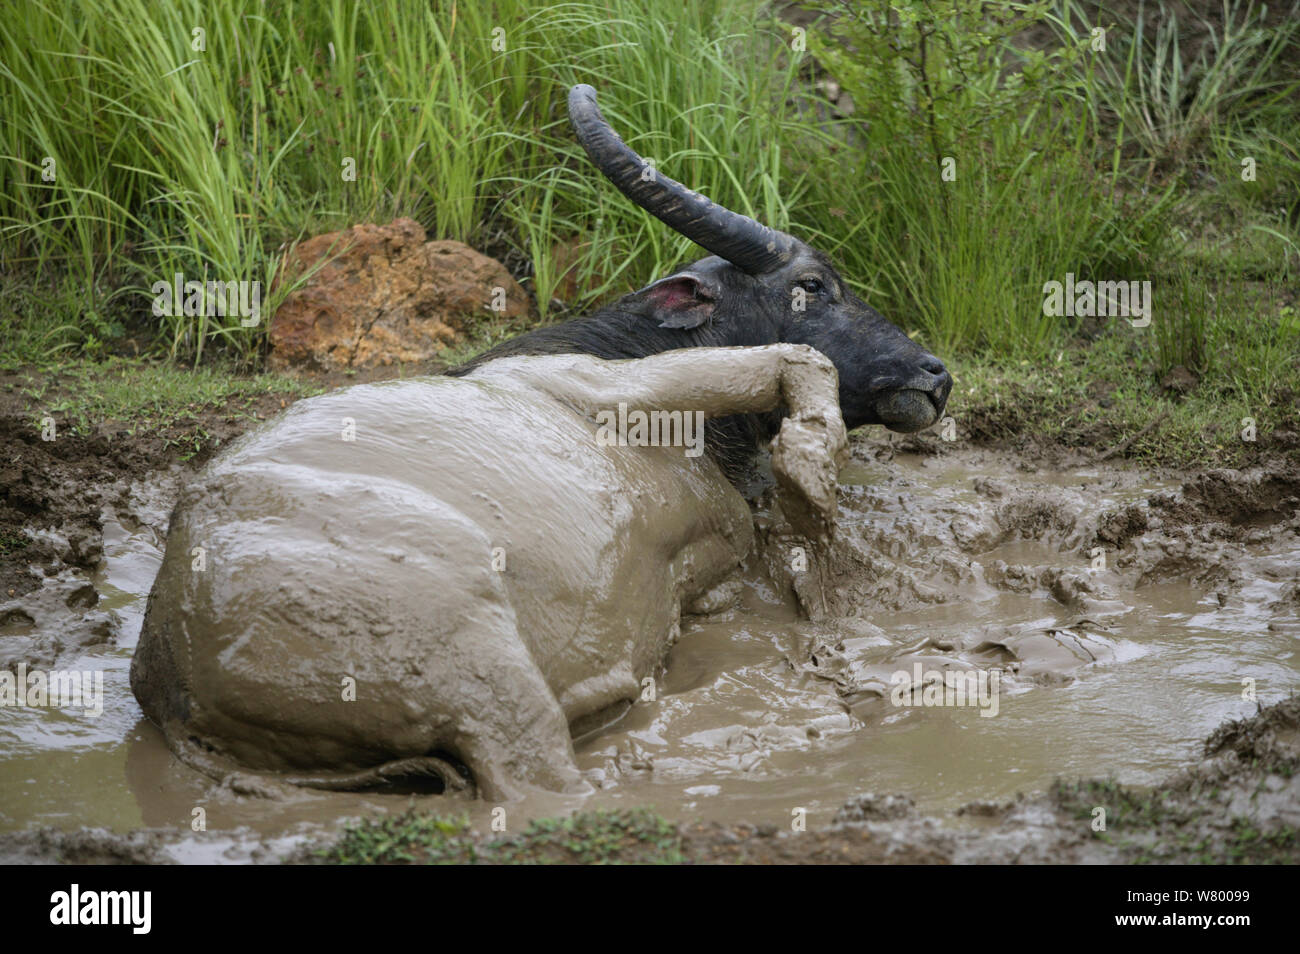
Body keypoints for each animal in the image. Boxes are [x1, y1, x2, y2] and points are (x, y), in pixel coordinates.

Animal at [130, 85, 951, 800]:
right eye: (812, 284)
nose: (935, 375)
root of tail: (167, 670)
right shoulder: (613, 387)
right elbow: (790, 361)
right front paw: (814, 506)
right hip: (482, 664)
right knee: (536, 783)